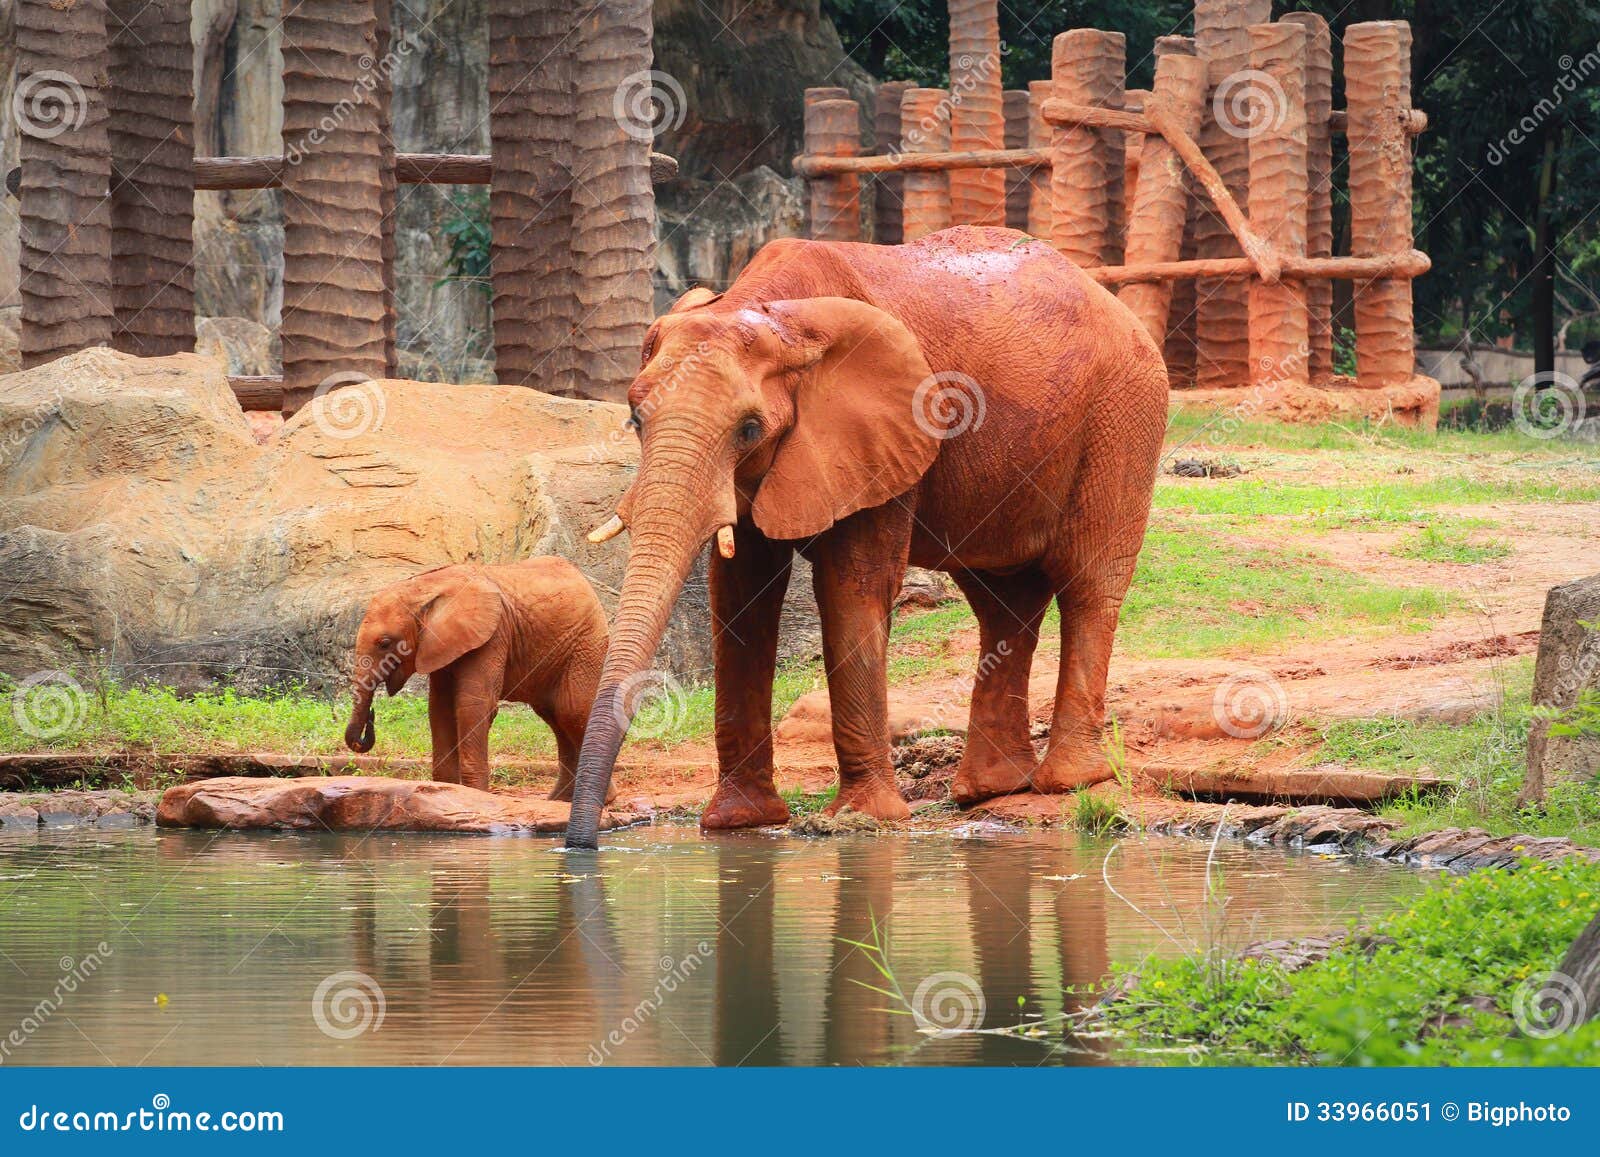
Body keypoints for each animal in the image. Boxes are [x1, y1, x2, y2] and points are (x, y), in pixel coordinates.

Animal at [344, 558, 608, 797]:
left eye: (384, 643)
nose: (371, 716)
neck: (424, 587)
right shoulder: (441, 644)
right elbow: (439, 709)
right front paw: (448, 791)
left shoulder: (492, 635)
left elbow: (472, 705)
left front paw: (476, 795)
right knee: (556, 717)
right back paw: (560, 800)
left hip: (586, 645)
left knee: (571, 711)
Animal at [564, 225, 1168, 848]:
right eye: (635, 419)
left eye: (749, 429)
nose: (580, 842)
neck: (773, 312)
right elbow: (740, 598)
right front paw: (737, 824)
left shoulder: (890, 432)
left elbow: (851, 587)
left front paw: (862, 820)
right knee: (1002, 602)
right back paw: (990, 791)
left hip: (1124, 414)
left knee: (1087, 584)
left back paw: (1068, 783)